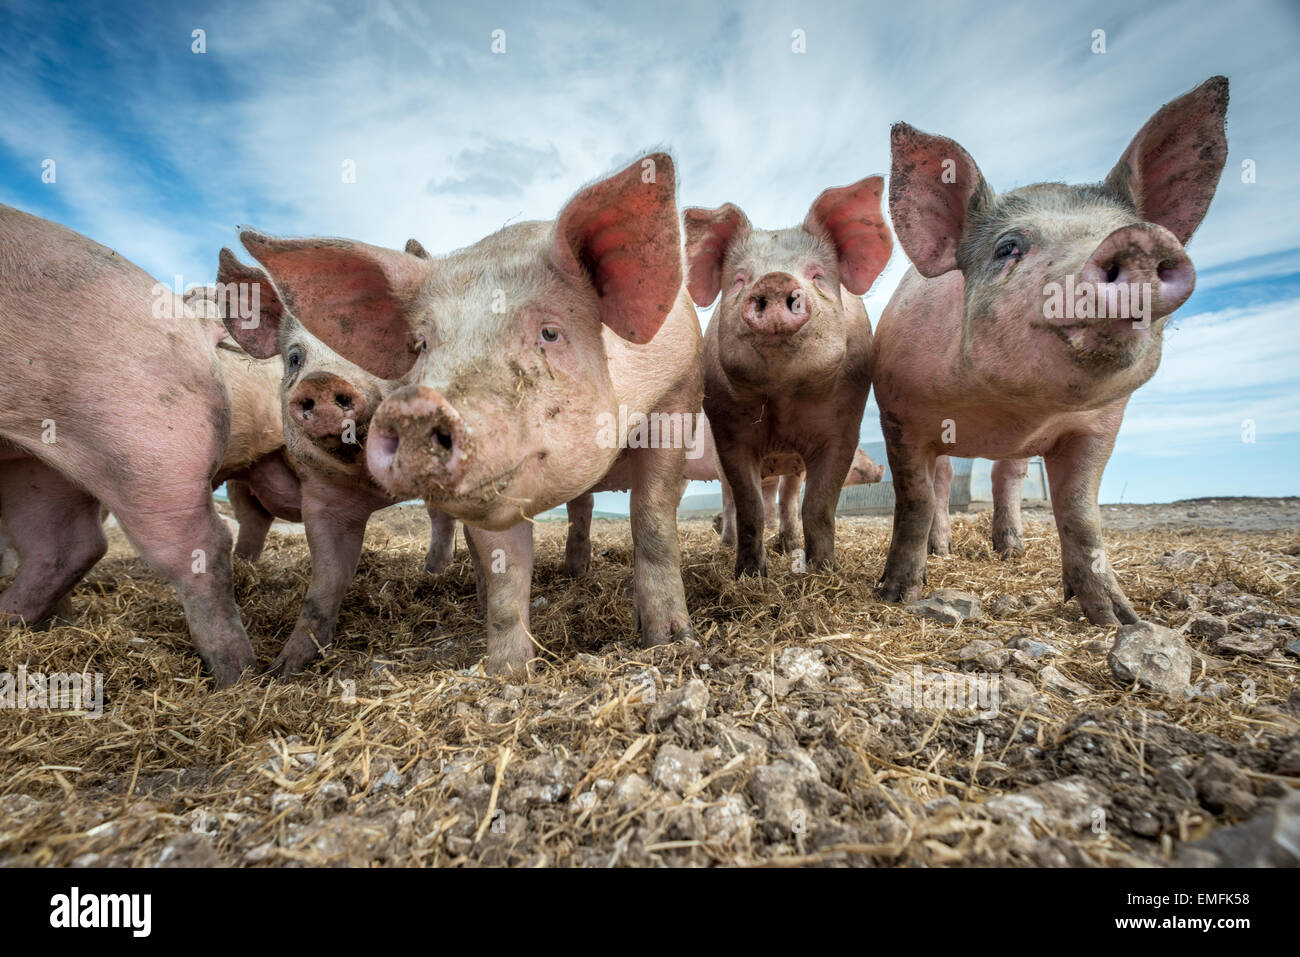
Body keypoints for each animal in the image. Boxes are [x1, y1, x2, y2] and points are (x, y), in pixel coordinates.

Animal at [0, 204, 255, 684]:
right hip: (38, 463)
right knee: (64, 547)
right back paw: (9, 620)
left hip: (147, 445)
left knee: (203, 545)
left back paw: (236, 677)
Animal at [237, 152, 703, 678]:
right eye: (421, 345)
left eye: (550, 332)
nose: (416, 408)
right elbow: (504, 577)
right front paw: (507, 674)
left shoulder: (678, 396)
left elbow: (653, 522)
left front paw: (671, 644)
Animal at [684, 179, 893, 576]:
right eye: (739, 279)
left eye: (817, 276)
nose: (775, 279)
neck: (781, 398)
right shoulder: (728, 434)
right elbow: (749, 507)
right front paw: (749, 575)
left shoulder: (844, 425)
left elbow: (818, 505)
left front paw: (823, 571)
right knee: (736, 504)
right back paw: (729, 545)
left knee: (787, 499)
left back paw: (789, 545)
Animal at [874, 77, 1229, 624]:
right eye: (1008, 247)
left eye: (1117, 226)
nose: (1138, 240)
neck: (1011, 413)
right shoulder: (898, 411)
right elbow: (914, 500)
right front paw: (895, 596)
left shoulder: (1102, 424)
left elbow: (1082, 512)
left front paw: (1119, 619)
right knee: (944, 481)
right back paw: (943, 551)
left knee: (1007, 476)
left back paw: (1011, 551)